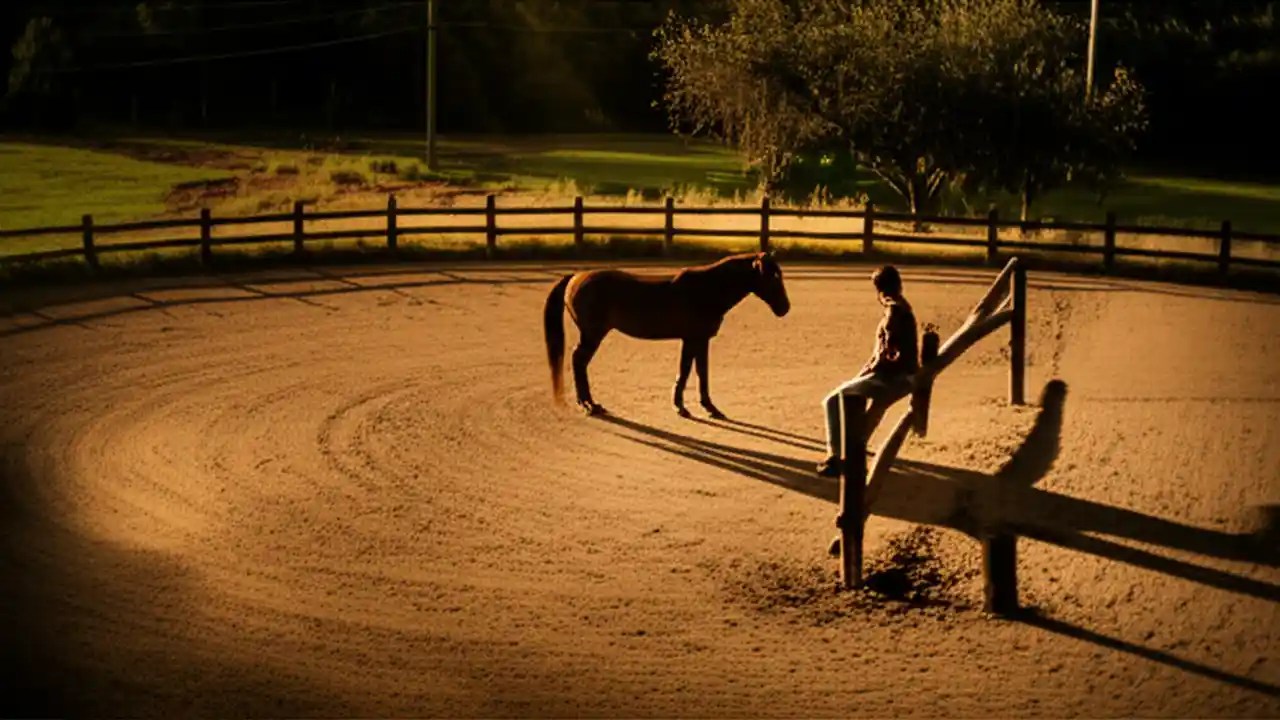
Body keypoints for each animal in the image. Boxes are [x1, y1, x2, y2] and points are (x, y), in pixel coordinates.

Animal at [542, 251, 792, 417]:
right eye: (772, 276)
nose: (785, 308)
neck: (708, 289)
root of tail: (576, 277)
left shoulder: (697, 340)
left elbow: (697, 371)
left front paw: (704, 406)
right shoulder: (694, 338)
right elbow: (690, 371)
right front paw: (685, 406)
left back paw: (589, 403)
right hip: (592, 335)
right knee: (578, 361)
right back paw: (588, 404)